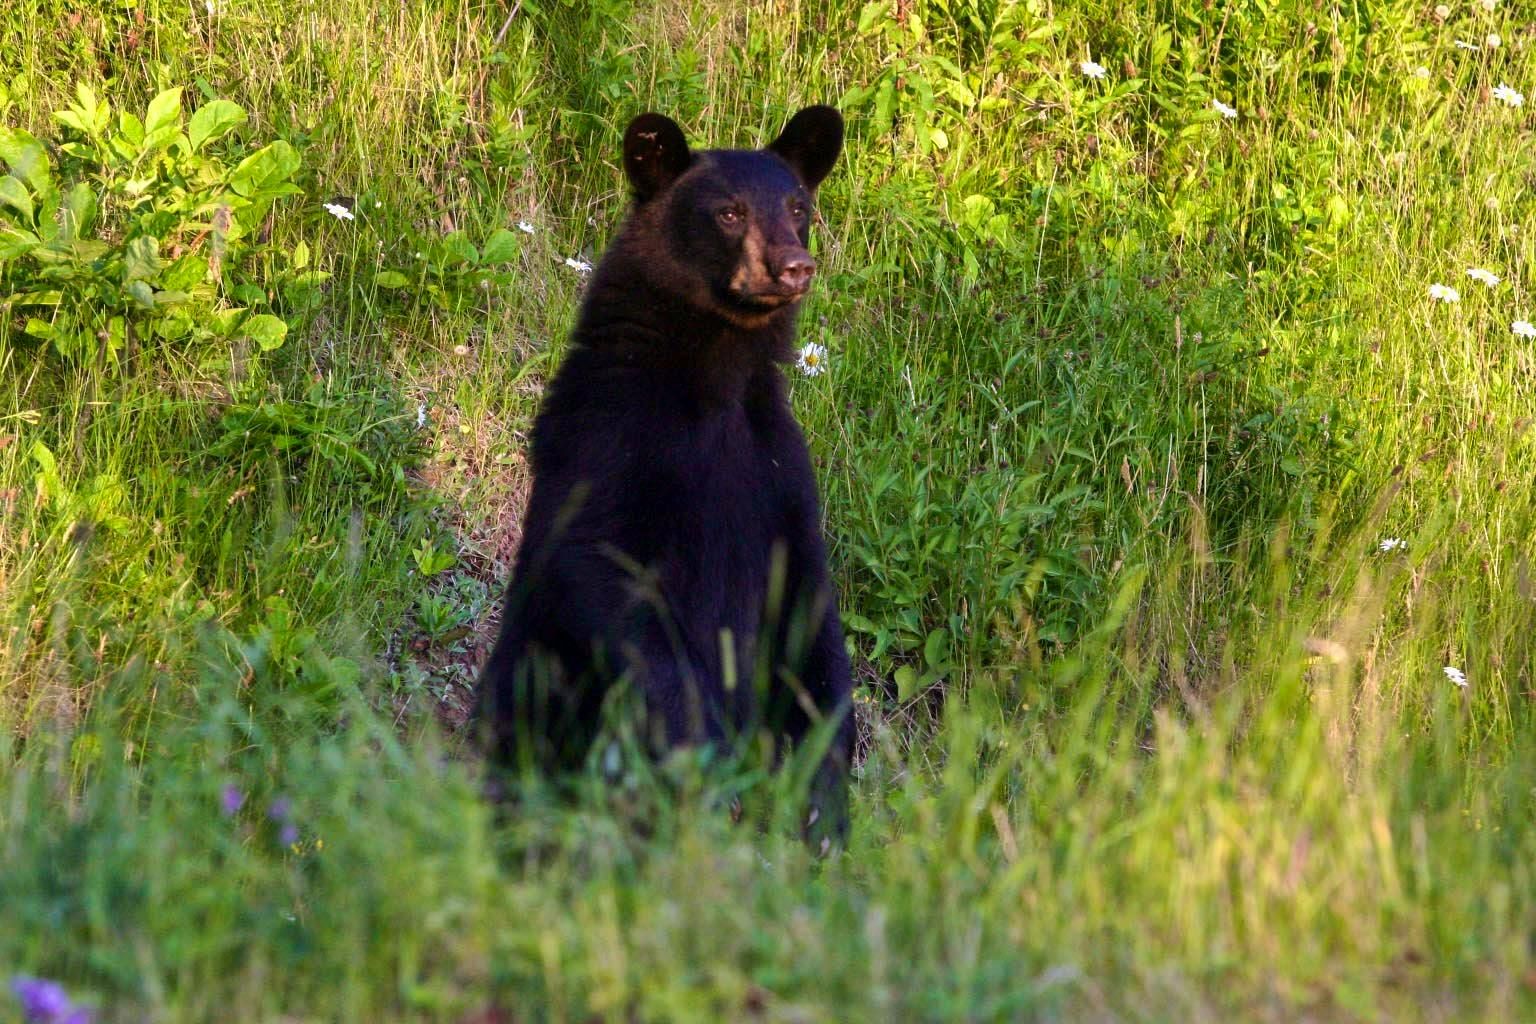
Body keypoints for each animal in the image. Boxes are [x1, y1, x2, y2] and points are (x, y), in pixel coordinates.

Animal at [476, 106, 854, 844]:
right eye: (729, 211)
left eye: (799, 207)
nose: (795, 265)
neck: (712, 379)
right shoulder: (606, 433)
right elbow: (602, 567)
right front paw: (700, 749)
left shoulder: (777, 466)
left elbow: (807, 606)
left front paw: (820, 793)